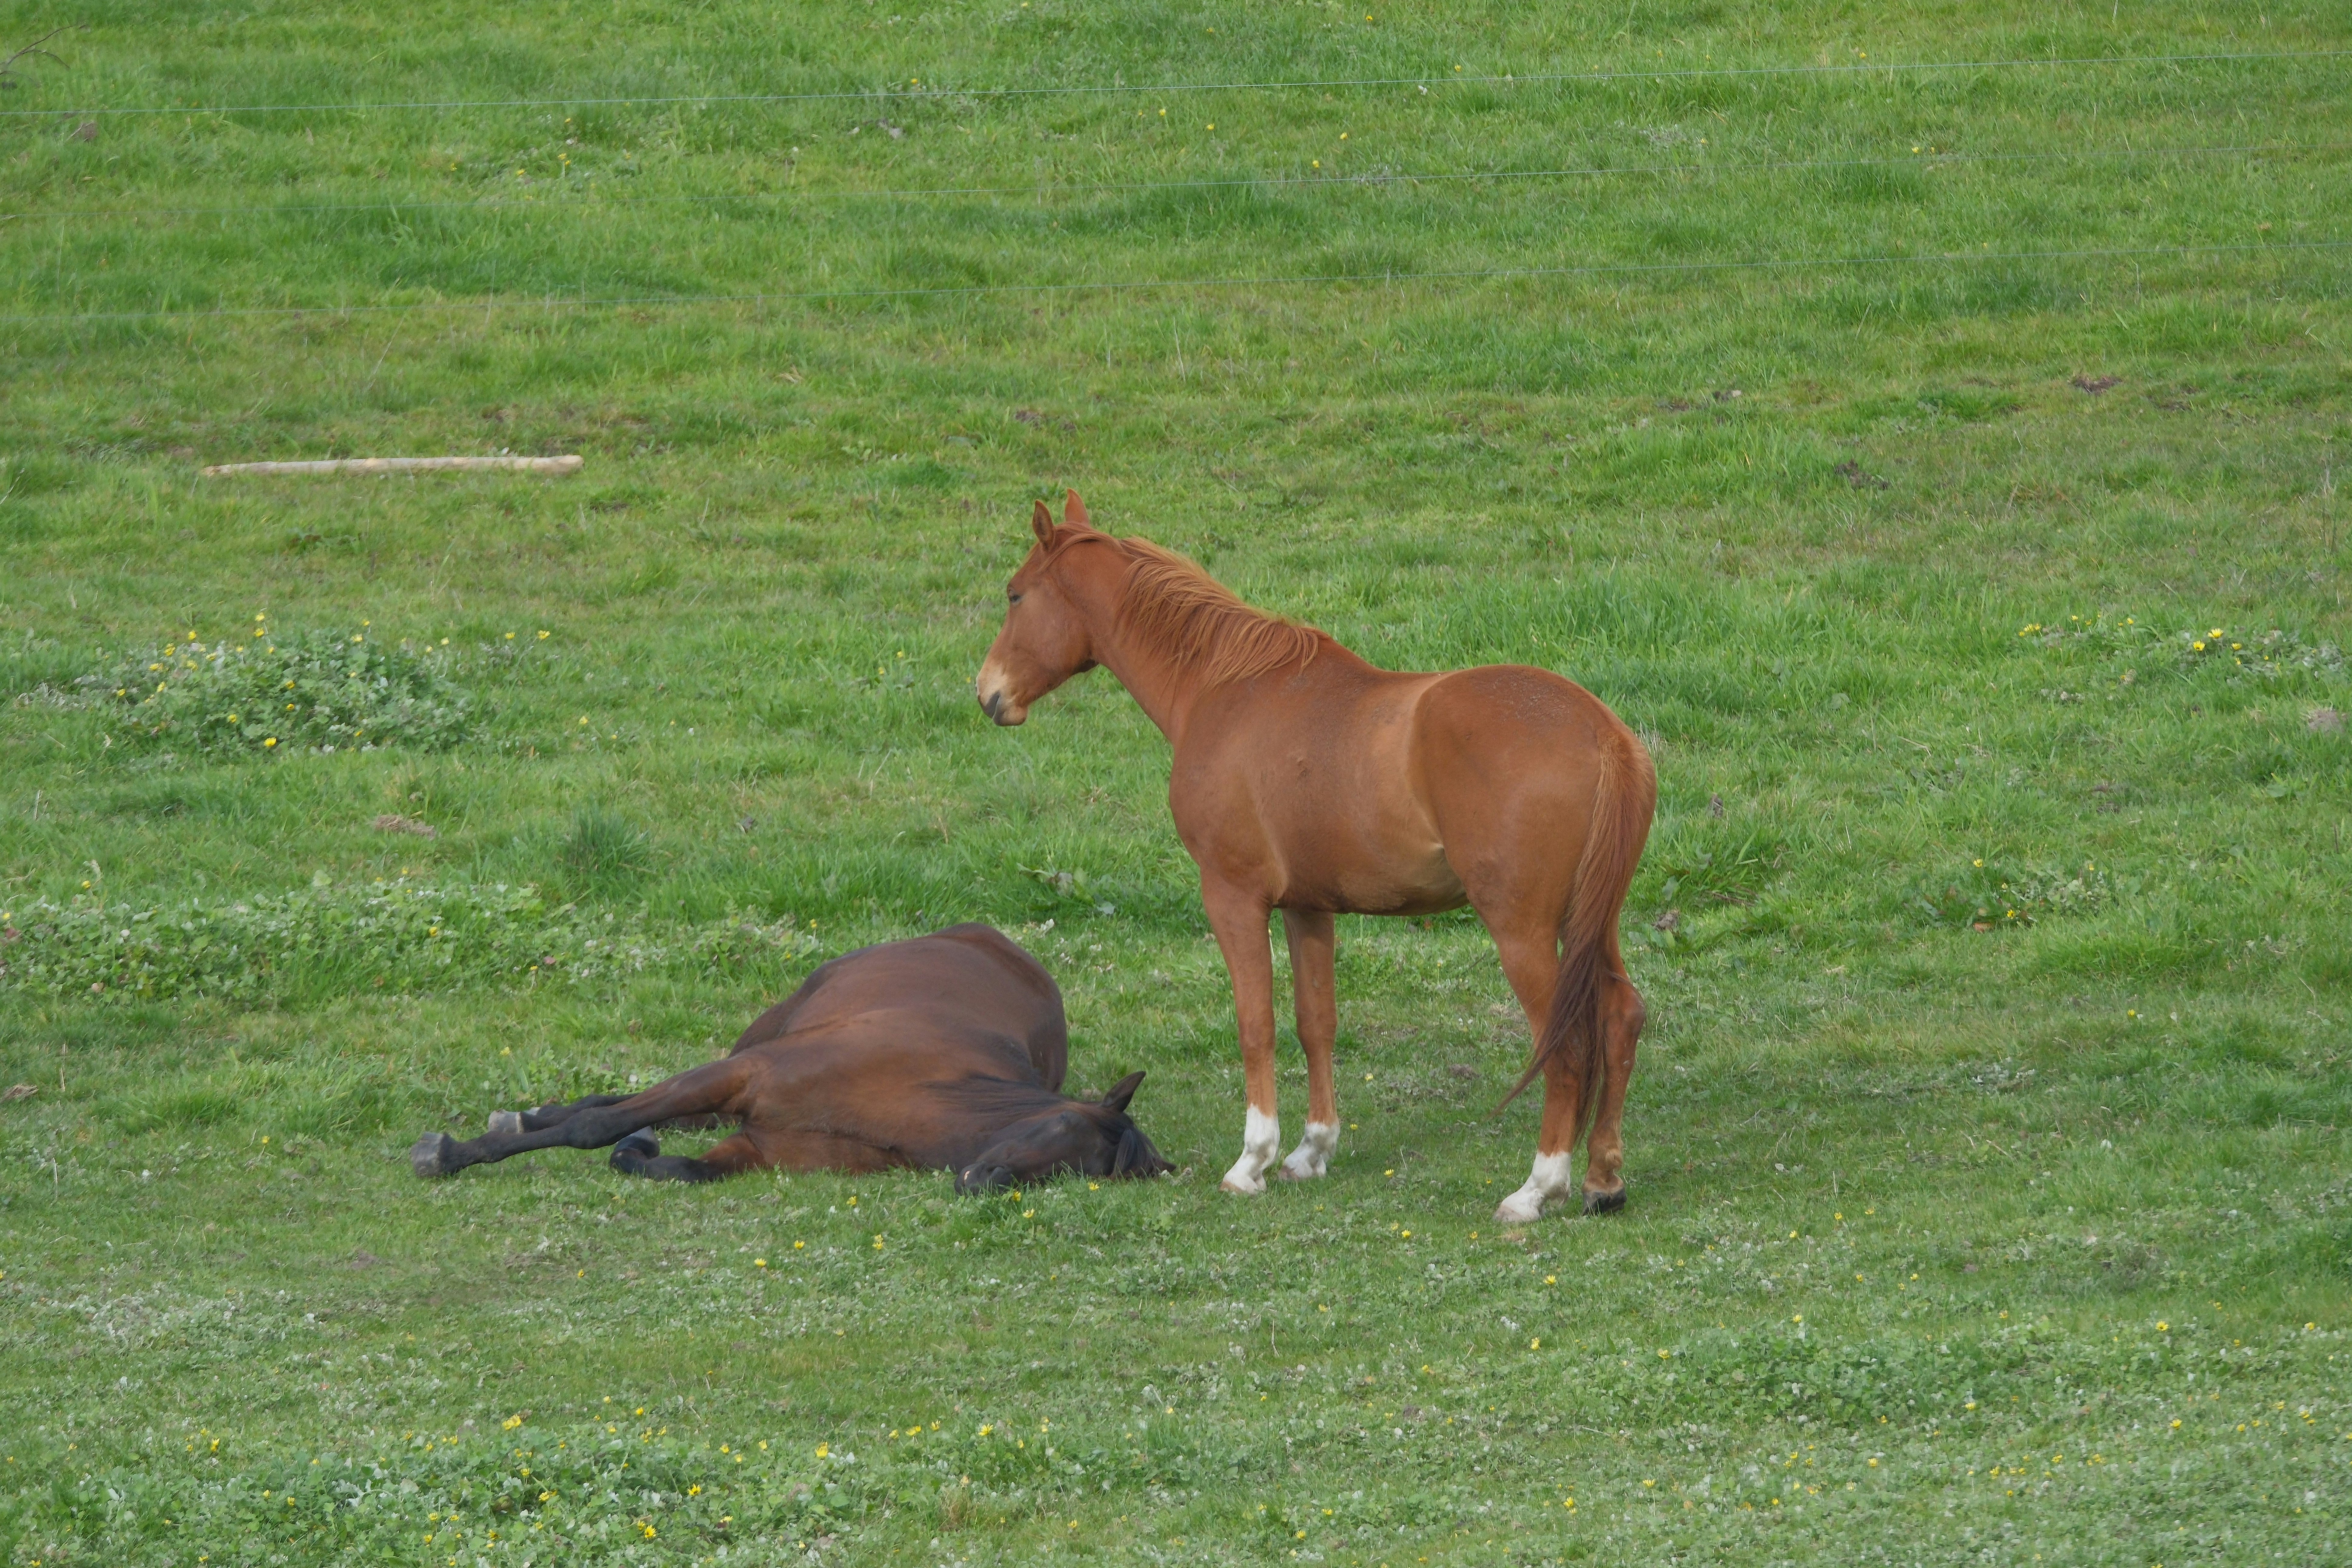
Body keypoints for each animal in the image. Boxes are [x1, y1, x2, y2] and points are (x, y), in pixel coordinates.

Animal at [408, 923, 1170, 1192]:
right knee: (614, 1103)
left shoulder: (756, 1146)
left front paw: (640, 1148)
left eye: (1081, 1174)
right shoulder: (744, 1074)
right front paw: (453, 1152)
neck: (904, 1097)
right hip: (749, 1046)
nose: (985, 1181)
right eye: (1063, 1129)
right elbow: (594, 1126)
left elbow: (672, 1166)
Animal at [975, 492, 1655, 1222]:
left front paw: (1252, 1160)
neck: (1224, 687)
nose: (988, 692)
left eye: (1015, 594)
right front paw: (1312, 1150)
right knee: (1619, 1019)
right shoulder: (1308, 906)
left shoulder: (1233, 896)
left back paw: (1537, 1187)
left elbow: (1257, 1023)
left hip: (1522, 931)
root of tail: (1601, 731)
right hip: (1591, 924)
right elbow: (1316, 1021)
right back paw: (1603, 1179)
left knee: (1568, 1047)